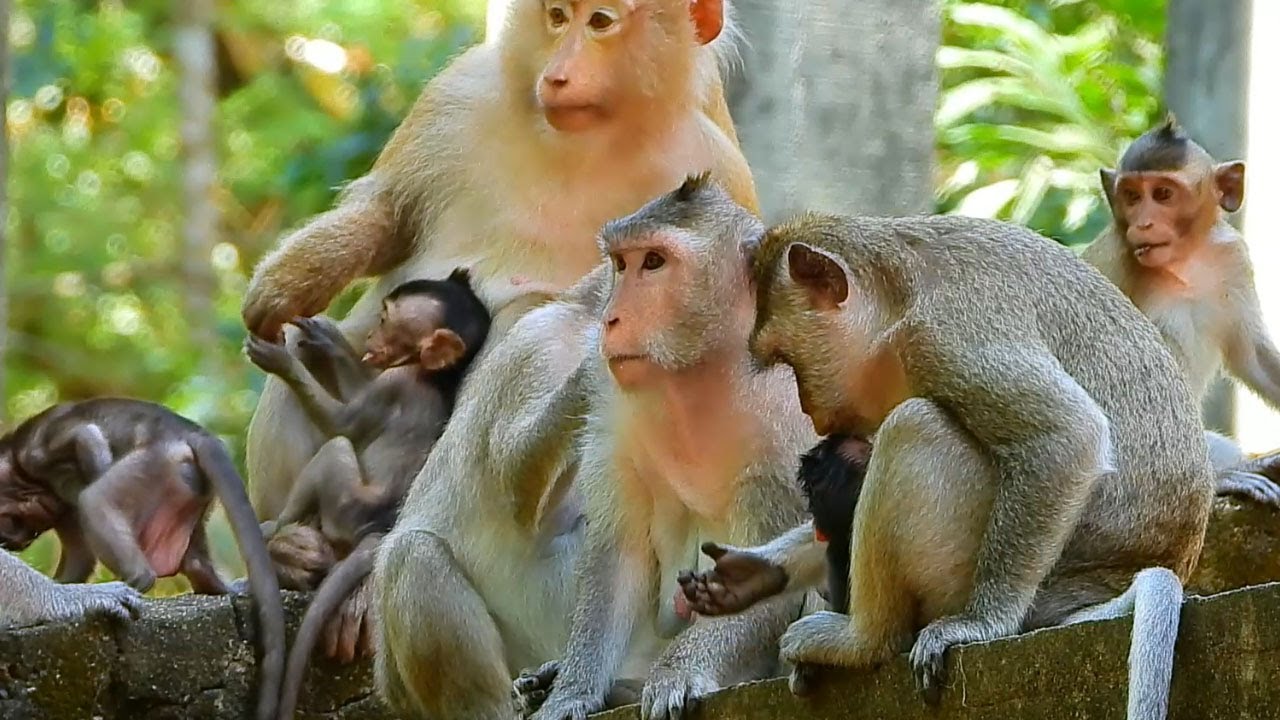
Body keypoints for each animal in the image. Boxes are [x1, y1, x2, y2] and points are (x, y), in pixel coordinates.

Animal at [240, 0, 761, 543]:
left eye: (600, 21)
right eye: (557, 16)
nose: (557, 75)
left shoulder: (712, 165)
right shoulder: (459, 92)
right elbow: (389, 215)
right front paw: (293, 278)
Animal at [502, 173, 815, 720]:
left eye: (654, 262)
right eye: (621, 263)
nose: (610, 320)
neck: (703, 371)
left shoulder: (787, 424)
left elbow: (767, 569)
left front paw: (676, 673)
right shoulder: (611, 403)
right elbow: (620, 552)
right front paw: (570, 694)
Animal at [669, 210, 1212, 720]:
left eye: (788, 359)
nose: (806, 406)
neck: (895, 297)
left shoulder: (948, 337)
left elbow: (1067, 435)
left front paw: (981, 624)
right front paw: (755, 572)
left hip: (960, 567)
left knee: (914, 427)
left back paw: (861, 641)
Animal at [1081, 116, 1280, 508]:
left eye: (1162, 194)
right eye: (1132, 196)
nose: (1142, 223)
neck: (1185, 264)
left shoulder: (1233, 258)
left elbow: (1252, 357)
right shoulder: (1115, 263)